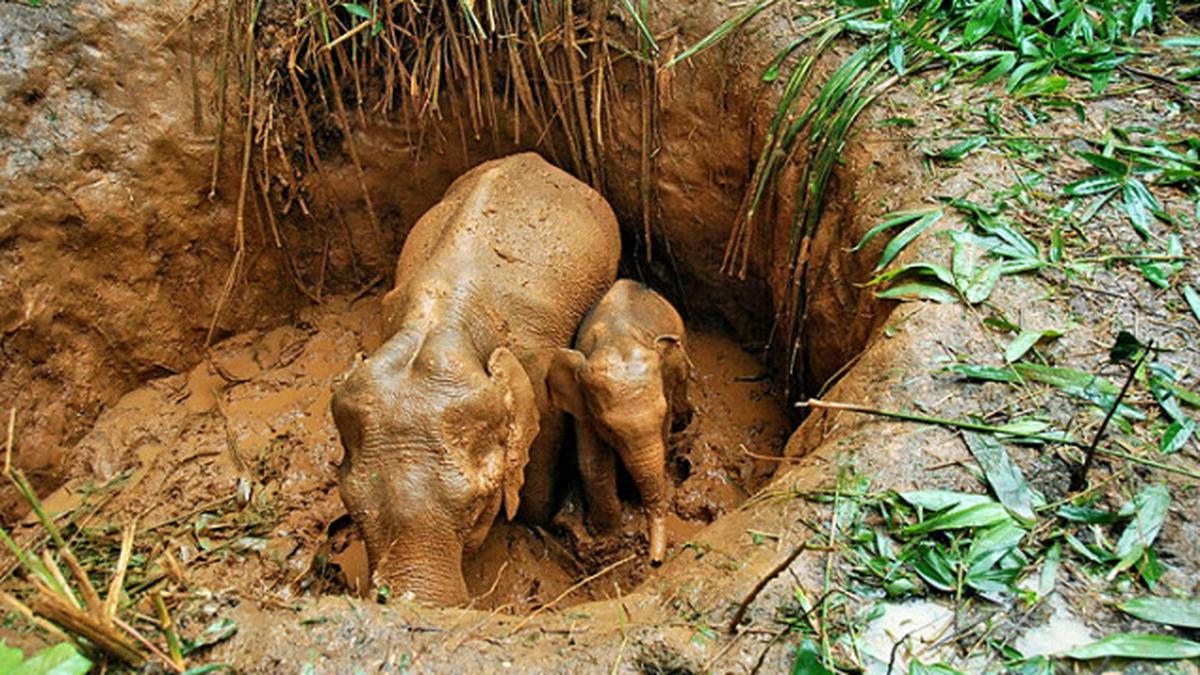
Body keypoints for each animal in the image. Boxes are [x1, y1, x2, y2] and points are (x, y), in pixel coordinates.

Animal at [331, 153, 620, 607]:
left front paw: (532, 522)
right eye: (351, 505)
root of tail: (536, 158)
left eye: (475, 505)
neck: (438, 321)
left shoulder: (538, 375)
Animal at [547, 279, 692, 565]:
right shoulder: (584, 408)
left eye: (661, 414)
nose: (655, 562)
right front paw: (606, 536)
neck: (618, 338)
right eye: (609, 428)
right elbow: (593, 462)